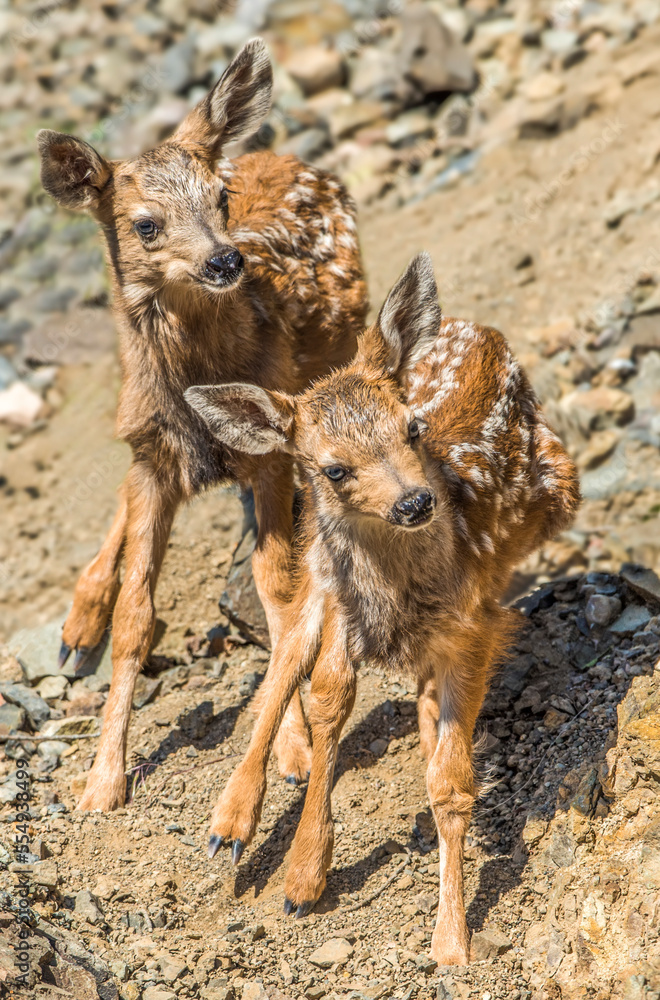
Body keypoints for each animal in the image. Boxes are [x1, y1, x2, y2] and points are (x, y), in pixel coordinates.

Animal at [36, 38, 367, 813]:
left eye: (221, 199)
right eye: (145, 223)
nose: (224, 259)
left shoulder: (270, 455)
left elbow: (276, 587)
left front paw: (293, 752)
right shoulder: (153, 456)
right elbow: (136, 617)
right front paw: (102, 781)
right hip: (137, 433)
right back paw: (77, 627)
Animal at [185, 252, 581, 966]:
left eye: (412, 429)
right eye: (333, 469)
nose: (415, 502)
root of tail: (476, 328)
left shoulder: (472, 626)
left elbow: (449, 784)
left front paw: (450, 940)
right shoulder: (343, 602)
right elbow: (325, 695)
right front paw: (302, 876)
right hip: (319, 564)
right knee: (286, 659)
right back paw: (229, 824)